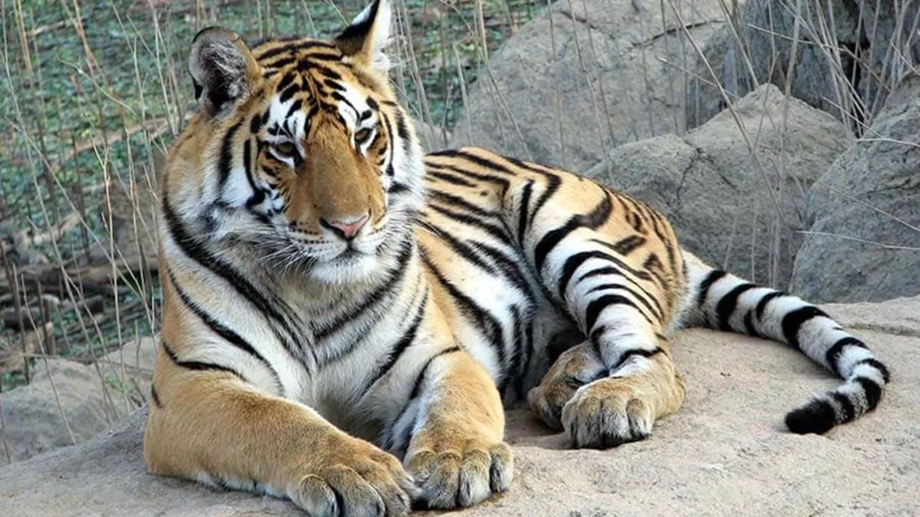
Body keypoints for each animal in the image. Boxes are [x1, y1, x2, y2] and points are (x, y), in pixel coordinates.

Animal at [143, 0, 891, 514]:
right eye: (286, 149)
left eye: (363, 135)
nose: (354, 226)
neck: (314, 288)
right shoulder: (191, 389)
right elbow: (279, 422)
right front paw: (354, 470)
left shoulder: (439, 357)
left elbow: (459, 408)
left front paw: (460, 462)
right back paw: (564, 384)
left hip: (565, 225)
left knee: (655, 355)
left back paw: (602, 399)